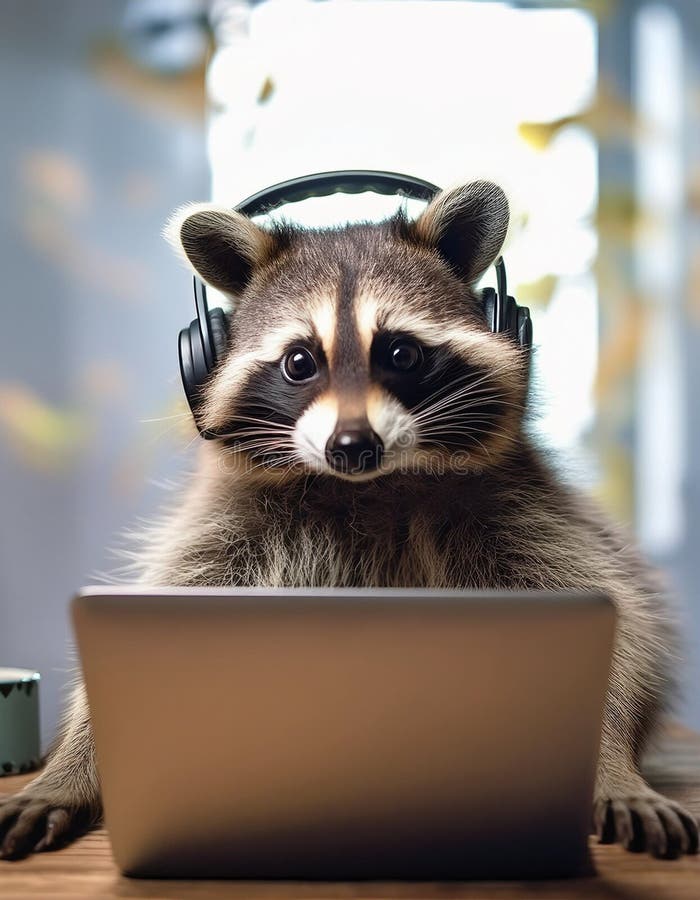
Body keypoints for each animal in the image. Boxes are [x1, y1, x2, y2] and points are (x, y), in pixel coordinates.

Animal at [1, 181, 697, 860]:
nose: (352, 445)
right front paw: (67, 769)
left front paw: (609, 765)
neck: (367, 486)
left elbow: (624, 629)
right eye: (299, 362)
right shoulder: (227, 524)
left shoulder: (521, 510)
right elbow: (174, 590)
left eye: (401, 353)